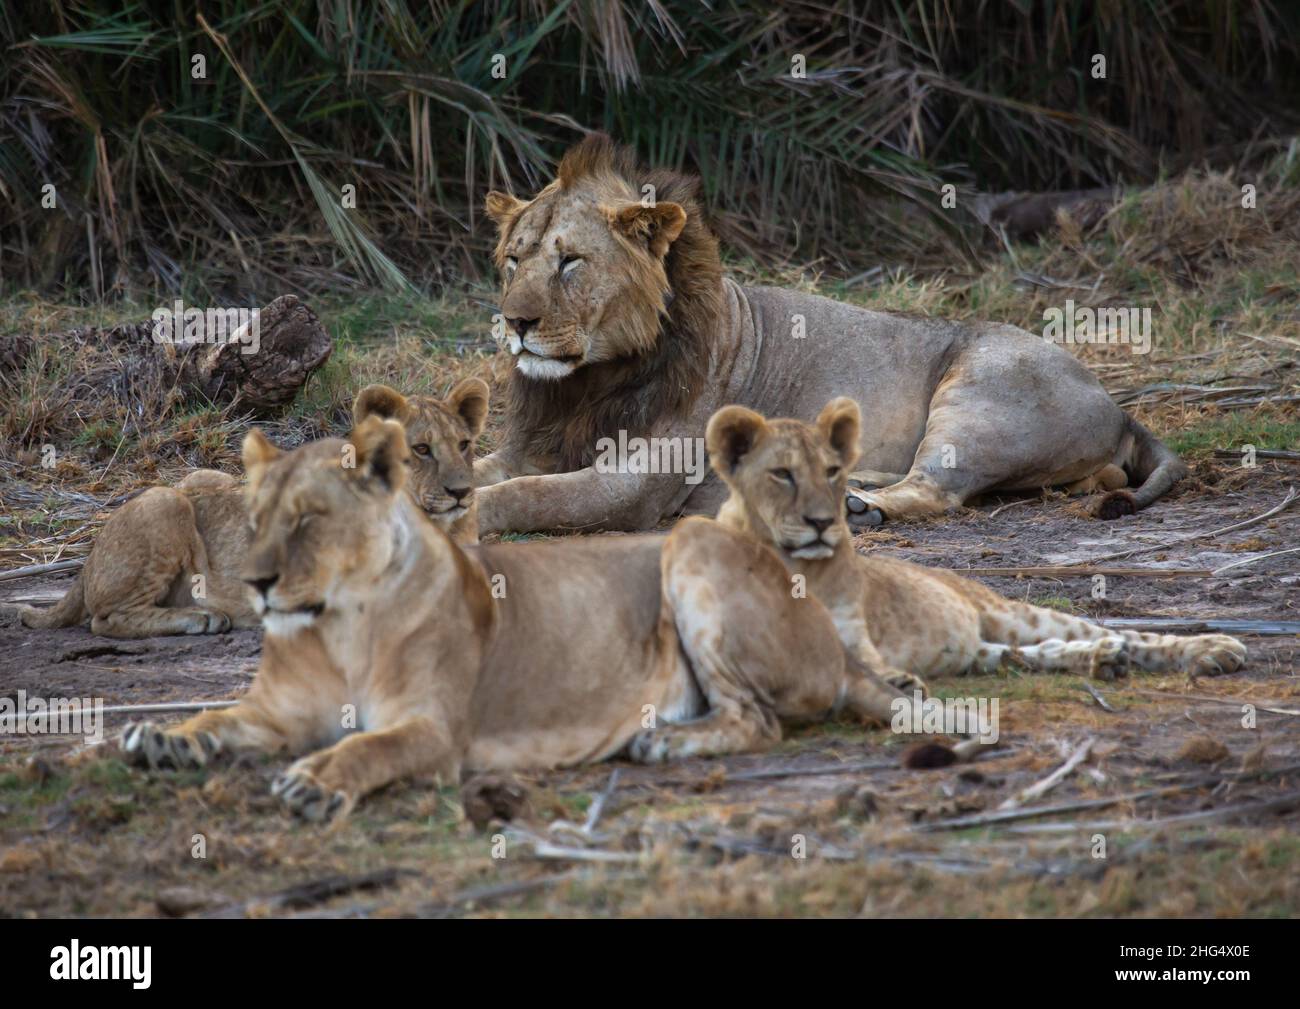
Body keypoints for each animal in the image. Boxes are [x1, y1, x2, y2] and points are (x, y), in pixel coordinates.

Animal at [16, 378, 489, 638]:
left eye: (464, 444)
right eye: (422, 449)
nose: (463, 492)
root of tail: (86, 560)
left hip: (203, 476)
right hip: (167, 501)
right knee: (105, 618)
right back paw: (202, 618)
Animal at [117, 416, 911, 821]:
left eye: (309, 518)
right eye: (253, 520)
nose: (255, 583)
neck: (335, 624)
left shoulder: (437, 732)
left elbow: (369, 747)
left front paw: (316, 780)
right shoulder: (274, 713)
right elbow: (217, 718)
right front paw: (161, 736)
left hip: (690, 542)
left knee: (758, 719)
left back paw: (663, 741)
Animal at [471, 134, 1185, 536]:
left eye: (570, 262)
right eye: (513, 259)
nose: (516, 322)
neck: (585, 384)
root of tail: (1119, 405)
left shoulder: (634, 485)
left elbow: (525, 496)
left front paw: (465, 517)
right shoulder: (532, 445)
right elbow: (480, 470)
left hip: (977, 396)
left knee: (937, 491)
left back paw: (858, 508)